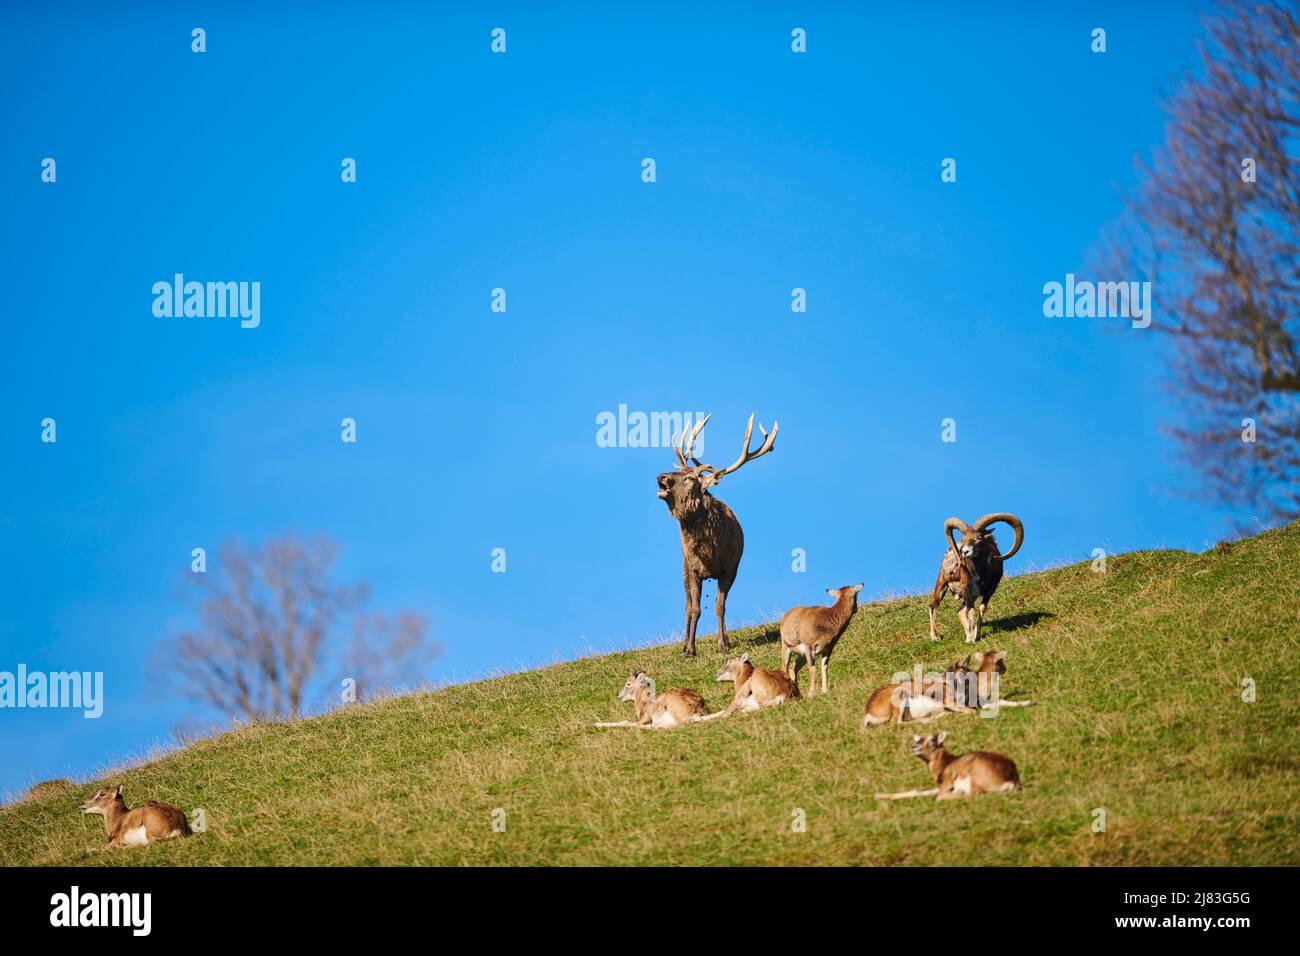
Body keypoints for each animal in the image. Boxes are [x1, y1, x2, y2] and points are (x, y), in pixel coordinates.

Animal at [656, 413, 778, 658]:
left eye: (690, 479)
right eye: (679, 473)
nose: (661, 476)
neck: (710, 552)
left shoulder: (730, 568)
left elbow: (720, 606)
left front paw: (722, 645)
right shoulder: (693, 567)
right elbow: (694, 608)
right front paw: (690, 650)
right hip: (683, 567)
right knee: (686, 605)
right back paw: (684, 643)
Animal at [875, 732, 1022, 801]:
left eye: (931, 740)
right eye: (918, 739)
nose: (914, 747)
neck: (947, 762)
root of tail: (1012, 777)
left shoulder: (946, 782)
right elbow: (915, 791)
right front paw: (878, 796)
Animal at [929, 513, 1023, 643]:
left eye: (978, 537)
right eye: (963, 539)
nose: (964, 552)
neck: (981, 574)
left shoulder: (990, 590)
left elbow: (982, 608)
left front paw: (975, 636)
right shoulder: (966, 588)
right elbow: (971, 611)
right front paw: (970, 640)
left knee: (960, 611)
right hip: (942, 585)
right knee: (933, 606)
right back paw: (935, 637)